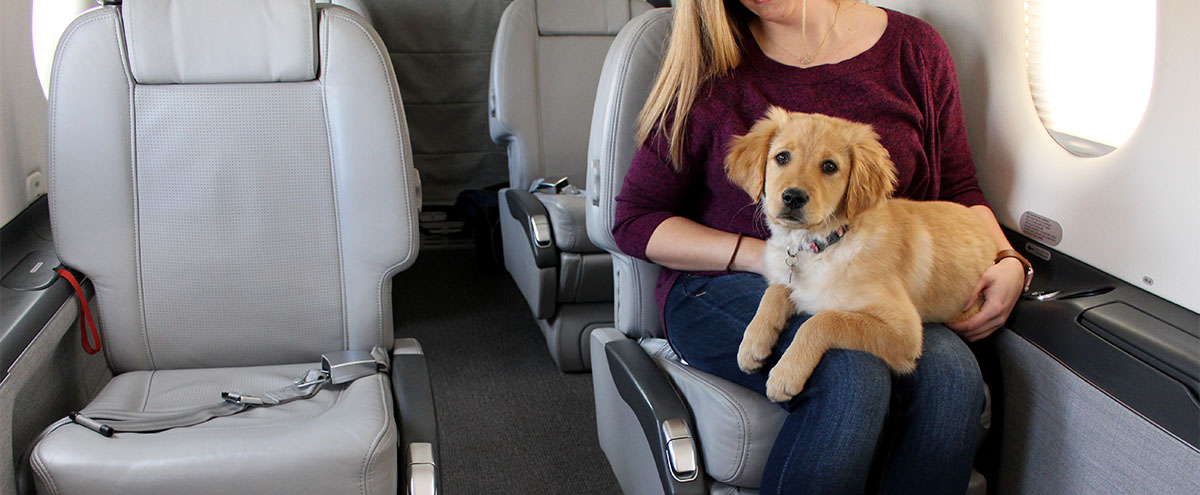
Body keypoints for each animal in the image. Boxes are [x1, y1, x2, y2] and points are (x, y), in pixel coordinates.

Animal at [720, 108, 993, 401]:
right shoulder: (792, 281)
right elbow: (775, 291)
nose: (793, 197)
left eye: (830, 166)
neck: (823, 244)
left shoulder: (905, 329)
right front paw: (753, 342)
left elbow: (824, 320)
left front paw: (786, 374)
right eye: (782, 157)